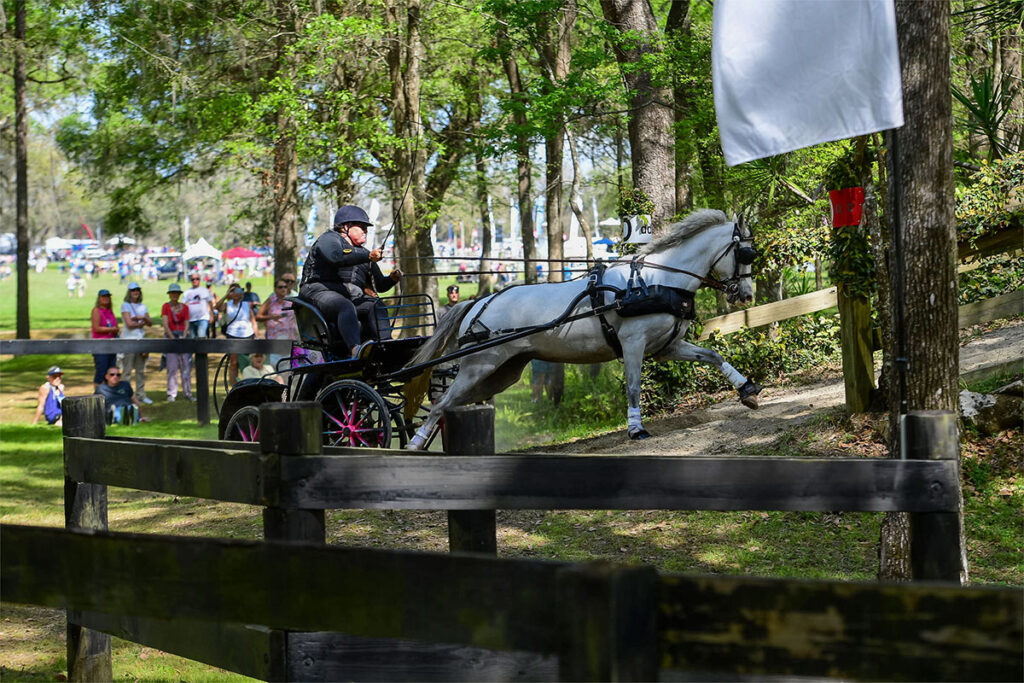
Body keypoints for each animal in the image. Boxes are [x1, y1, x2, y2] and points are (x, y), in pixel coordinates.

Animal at [404, 208, 761, 450]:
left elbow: (713, 356)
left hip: (502, 372)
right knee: (442, 404)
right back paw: (414, 445)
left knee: (455, 405)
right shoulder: (633, 343)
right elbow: (633, 387)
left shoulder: (666, 347)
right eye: (745, 254)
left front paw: (747, 389)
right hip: (478, 366)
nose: (746, 295)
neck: (656, 280)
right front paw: (636, 429)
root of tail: (479, 302)